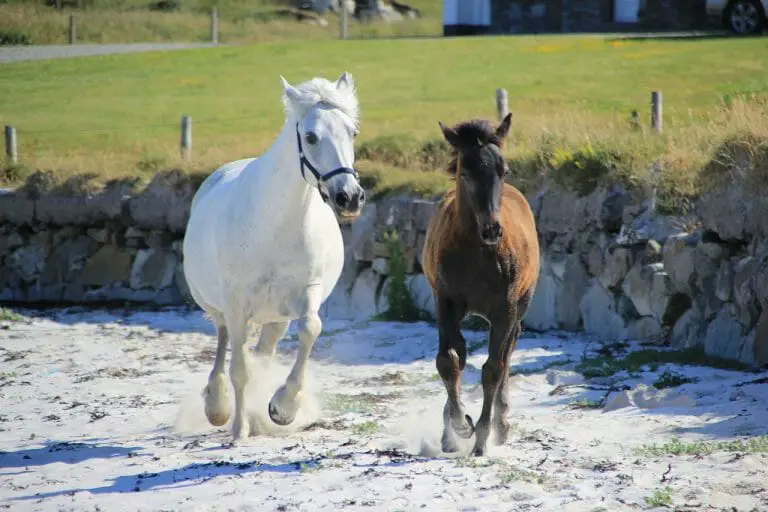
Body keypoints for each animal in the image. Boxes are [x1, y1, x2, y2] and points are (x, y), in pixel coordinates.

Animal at [182, 72, 365, 442]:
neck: (273, 224)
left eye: (352, 132)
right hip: (219, 306)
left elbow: (310, 329)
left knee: (263, 353)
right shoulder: (236, 303)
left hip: (275, 317)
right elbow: (239, 368)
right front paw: (239, 430)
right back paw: (218, 405)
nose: (349, 198)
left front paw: (283, 407)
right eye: (310, 137)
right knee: (224, 340)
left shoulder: (307, 292)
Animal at [421, 113, 540, 457]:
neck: (476, 252)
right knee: (459, 353)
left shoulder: (506, 308)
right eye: (465, 171)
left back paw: (501, 423)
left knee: (508, 353)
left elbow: (493, 368)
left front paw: (483, 437)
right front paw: (460, 425)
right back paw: (449, 432)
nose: (491, 230)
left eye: (504, 170)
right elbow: (448, 360)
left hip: (520, 306)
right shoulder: (444, 300)